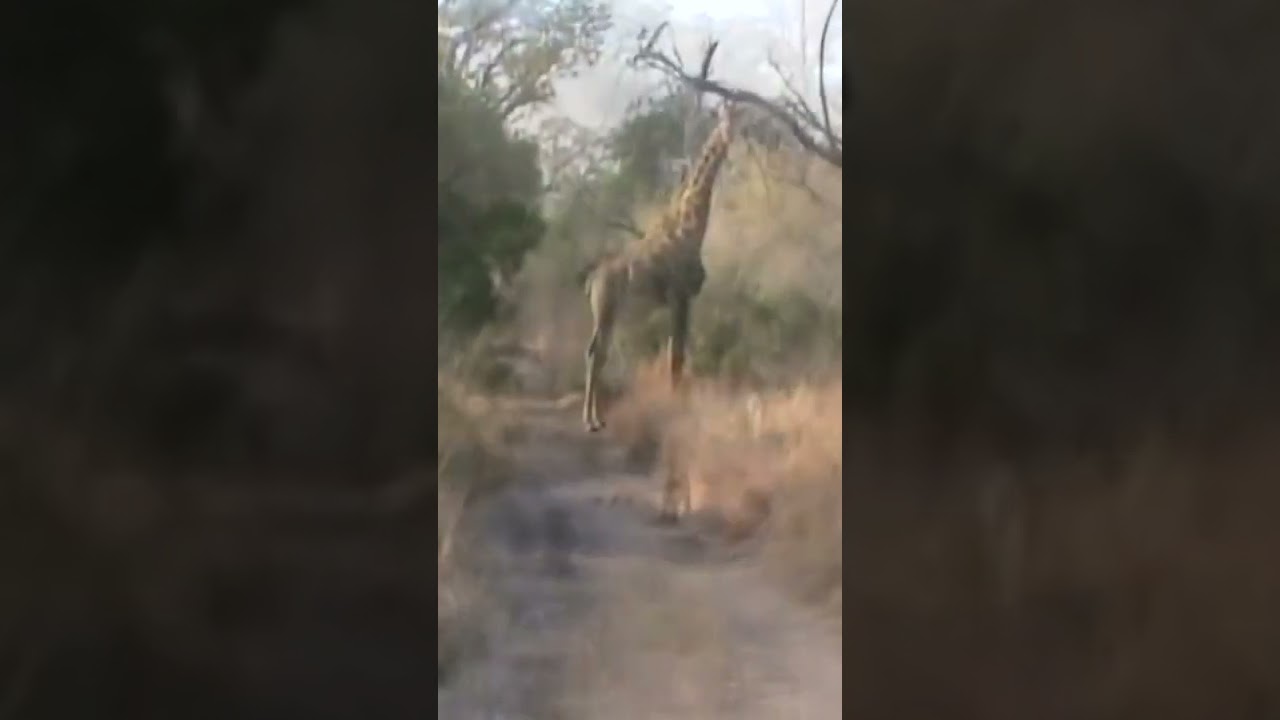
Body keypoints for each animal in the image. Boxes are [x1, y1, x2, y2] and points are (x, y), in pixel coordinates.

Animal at [580, 100, 740, 433]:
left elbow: (676, 353)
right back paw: (590, 421)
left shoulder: (680, 300)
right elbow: (676, 356)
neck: (690, 229)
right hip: (606, 310)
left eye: (738, 119)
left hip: (606, 313)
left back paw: (597, 418)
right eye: (721, 118)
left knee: (596, 353)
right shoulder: (680, 296)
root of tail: (591, 282)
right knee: (595, 354)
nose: (730, 136)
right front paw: (675, 406)